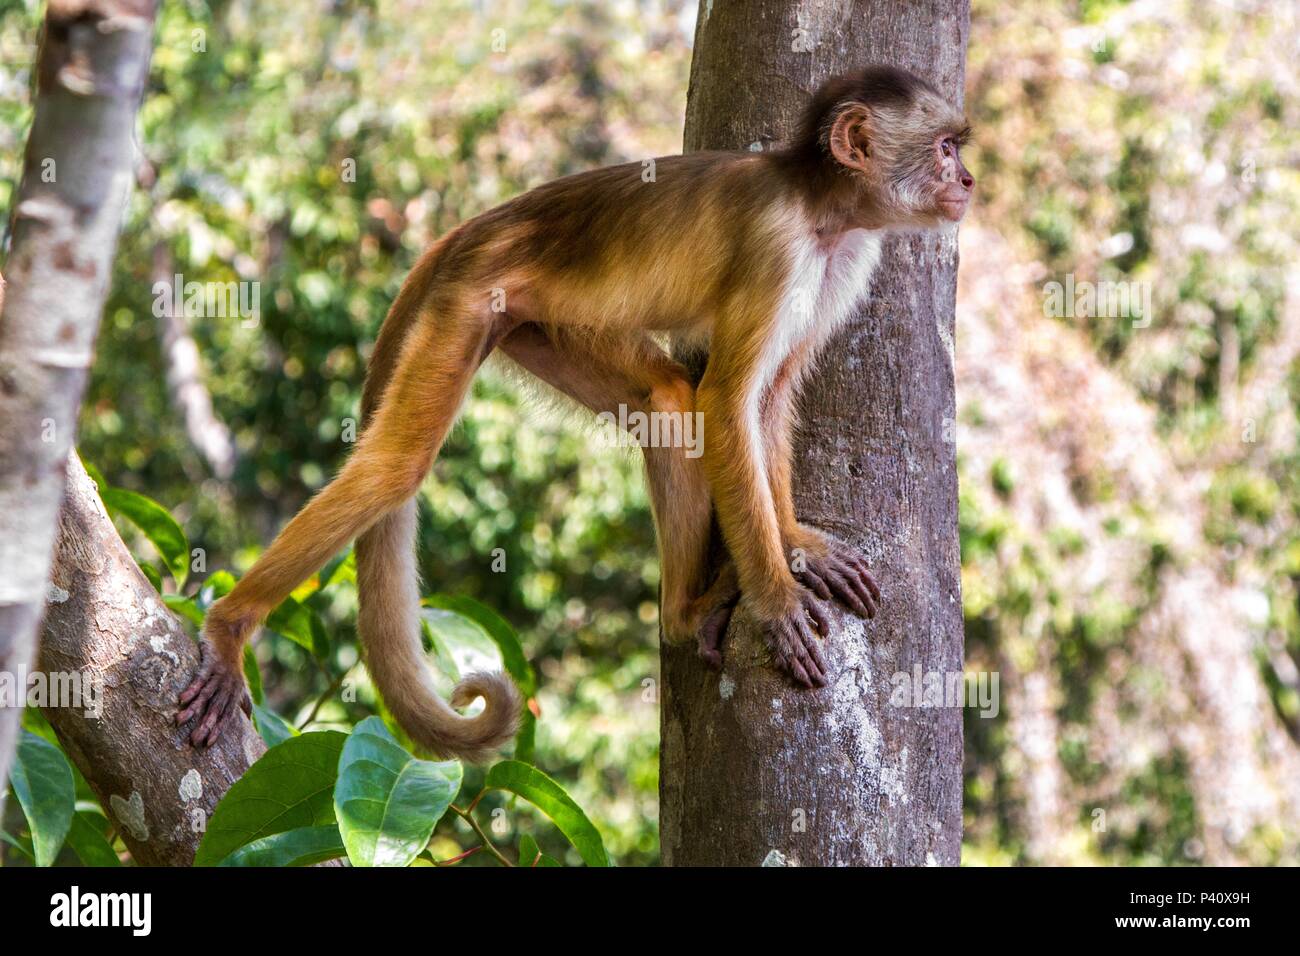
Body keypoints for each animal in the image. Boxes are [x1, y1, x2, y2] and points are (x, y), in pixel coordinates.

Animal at [177, 64, 974, 762]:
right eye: (945, 148)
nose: (967, 181)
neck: (819, 208)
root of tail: (475, 227)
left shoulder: (846, 257)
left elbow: (766, 398)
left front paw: (797, 543)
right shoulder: (778, 248)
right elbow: (728, 402)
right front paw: (775, 596)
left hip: (529, 323)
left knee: (665, 399)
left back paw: (683, 606)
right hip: (467, 299)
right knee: (395, 468)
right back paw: (228, 627)